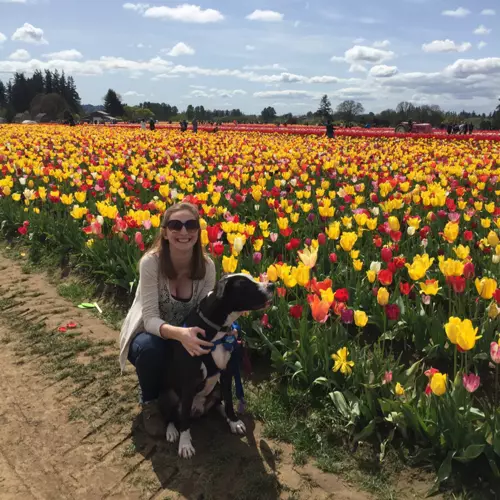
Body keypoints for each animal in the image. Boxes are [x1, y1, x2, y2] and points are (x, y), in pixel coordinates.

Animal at [161, 274, 274, 458]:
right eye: (246, 285)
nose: (272, 285)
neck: (216, 329)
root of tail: (198, 410)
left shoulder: (227, 373)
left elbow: (229, 402)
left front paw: (234, 421)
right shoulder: (189, 383)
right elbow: (184, 419)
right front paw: (185, 444)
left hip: (217, 388)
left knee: (218, 403)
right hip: (168, 394)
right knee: (172, 416)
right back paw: (171, 431)